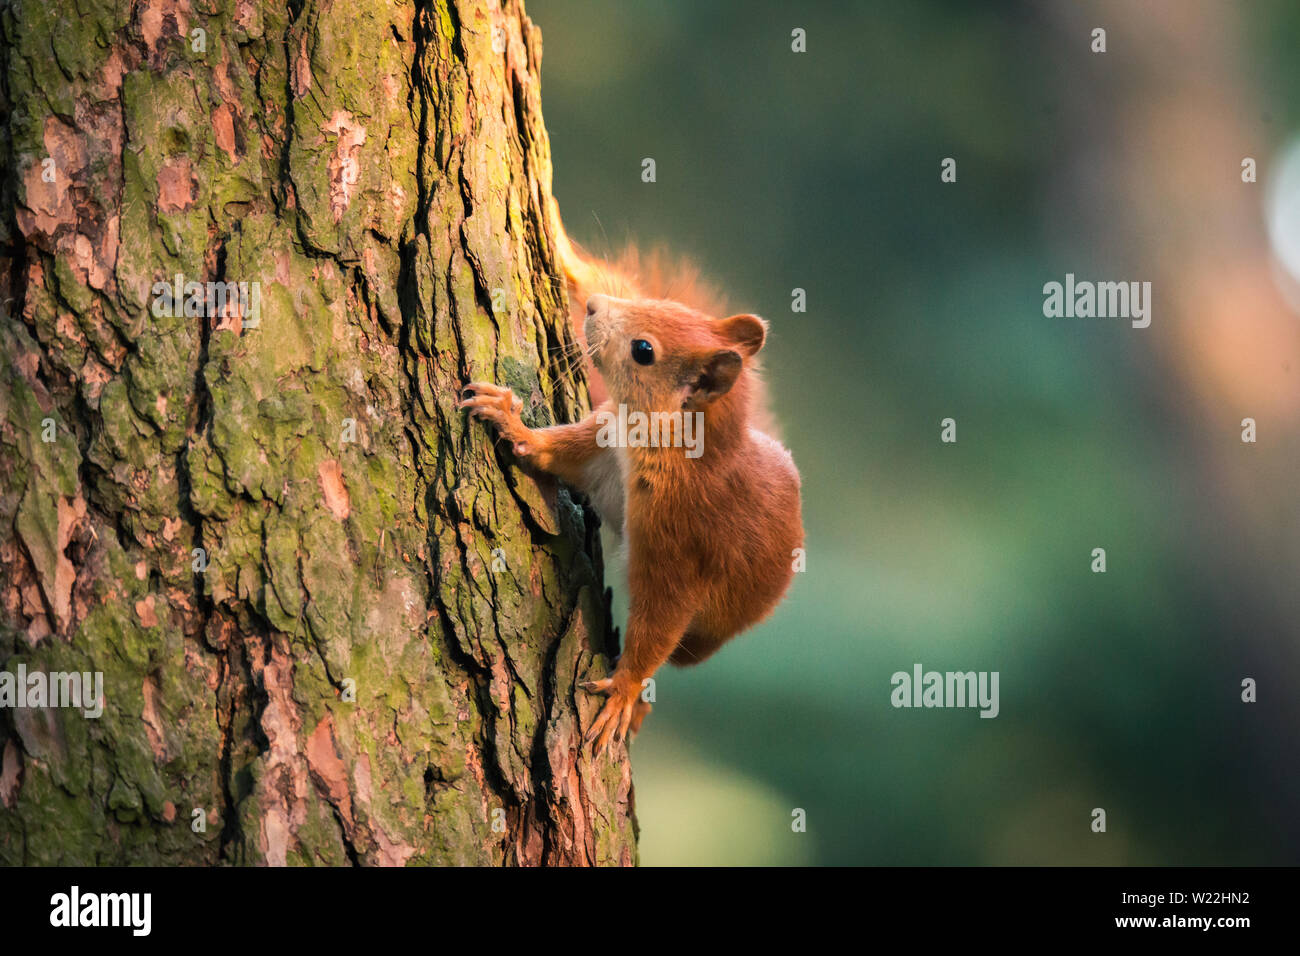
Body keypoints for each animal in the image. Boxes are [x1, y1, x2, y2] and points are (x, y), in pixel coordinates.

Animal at [458, 213, 803, 755]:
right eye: (665, 306)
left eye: (644, 351)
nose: (595, 306)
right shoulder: (601, 449)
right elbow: (548, 452)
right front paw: (512, 422)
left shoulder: (680, 549)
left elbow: (656, 628)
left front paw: (624, 690)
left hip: (711, 630)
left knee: (675, 651)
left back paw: (640, 700)